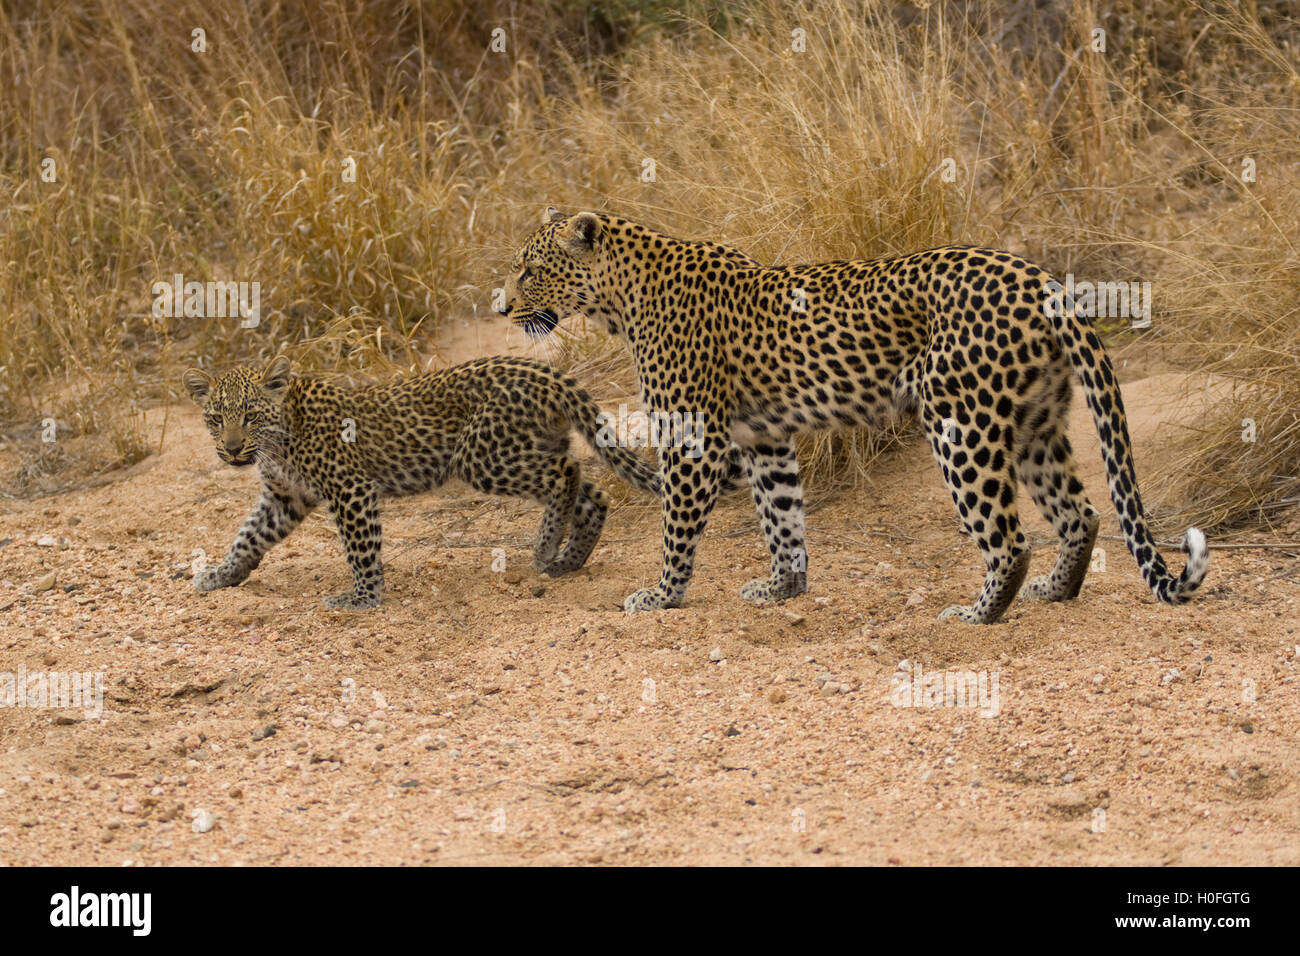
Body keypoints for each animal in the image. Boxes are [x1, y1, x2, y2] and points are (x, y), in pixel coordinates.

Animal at [183, 354, 661, 609]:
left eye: (249, 415)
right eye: (215, 418)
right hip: (525, 448)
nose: (231, 449)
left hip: (481, 456)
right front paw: (222, 574)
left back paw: (545, 547)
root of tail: (542, 370)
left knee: (567, 472)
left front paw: (361, 598)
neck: (278, 442)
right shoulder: (285, 498)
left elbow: (360, 548)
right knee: (592, 491)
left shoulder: (350, 488)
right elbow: (248, 536)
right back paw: (566, 560)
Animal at [498, 207, 1209, 624]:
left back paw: (978, 614)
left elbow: (676, 525)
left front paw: (661, 594)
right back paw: (1055, 592)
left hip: (961, 423)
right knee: (1080, 513)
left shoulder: (693, 438)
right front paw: (783, 588)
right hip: (1034, 424)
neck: (620, 296)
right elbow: (781, 515)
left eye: (529, 269)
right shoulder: (767, 439)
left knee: (1008, 536)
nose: (503, 307)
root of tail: (1039, 278)